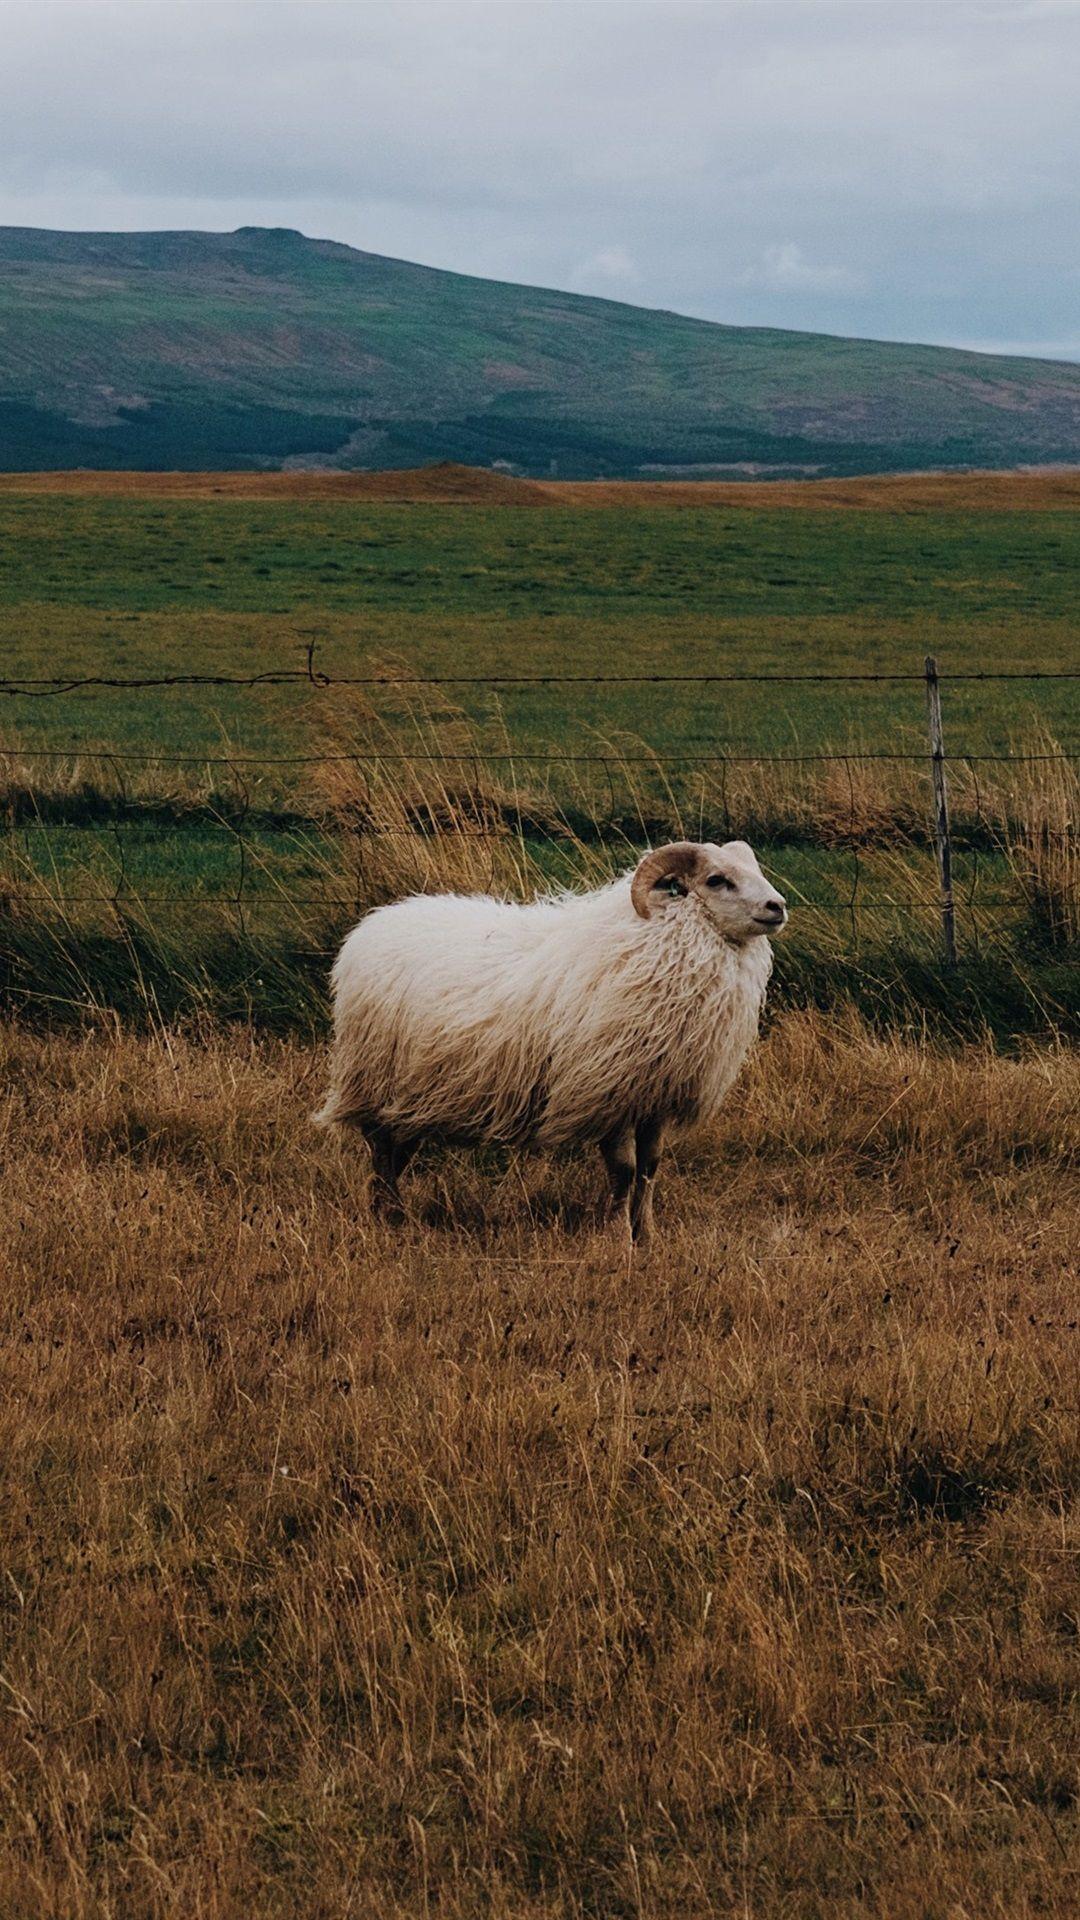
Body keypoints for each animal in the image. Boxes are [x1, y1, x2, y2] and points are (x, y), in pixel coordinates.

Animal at [314, 840, 787, 1244]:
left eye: (755, 869)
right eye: (716, 879)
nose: (778, 906)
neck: (659, 940)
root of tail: (375, 921)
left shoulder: (654, 1093)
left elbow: (650, 1169)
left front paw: (647, 1236)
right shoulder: (608, 1091)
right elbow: (624, 1171)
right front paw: (618, 1241)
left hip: (412, 1093)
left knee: (397, 1150)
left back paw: (390, 1210)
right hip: (375, 1078)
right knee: (380, 1148)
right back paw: (386, 1216)